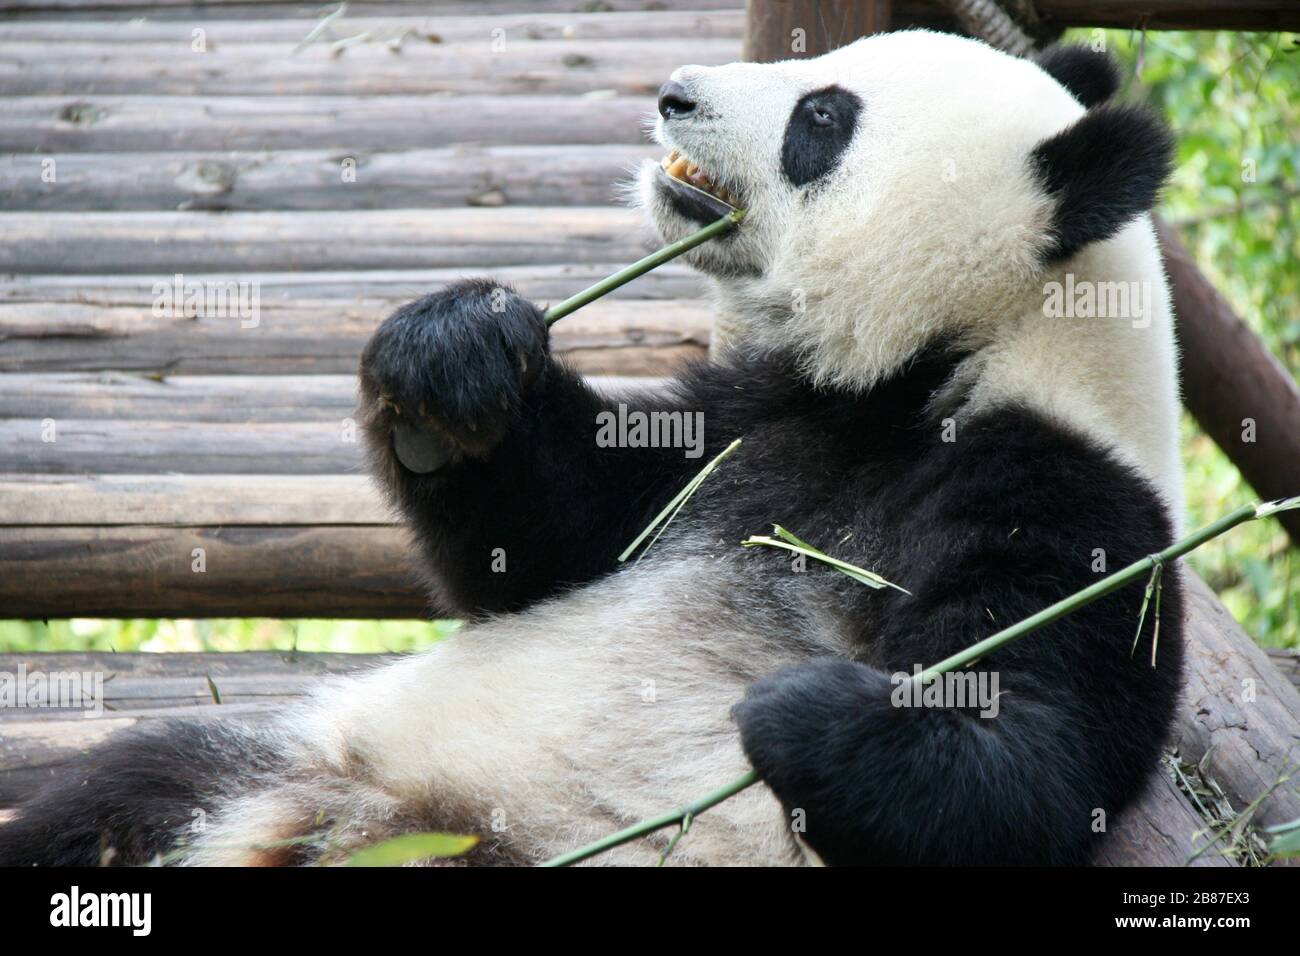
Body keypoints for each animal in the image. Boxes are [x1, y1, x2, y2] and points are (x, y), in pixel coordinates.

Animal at [0, 30, 1184, 867]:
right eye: (825, 69)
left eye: (822, 118)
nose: (674, 93)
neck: (953, 359)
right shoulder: (750, 428)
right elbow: (549, 539)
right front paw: (451, 358)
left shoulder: (1060, 489)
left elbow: (1027, 755)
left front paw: (798, 712)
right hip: (283, 765)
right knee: (129, 788)